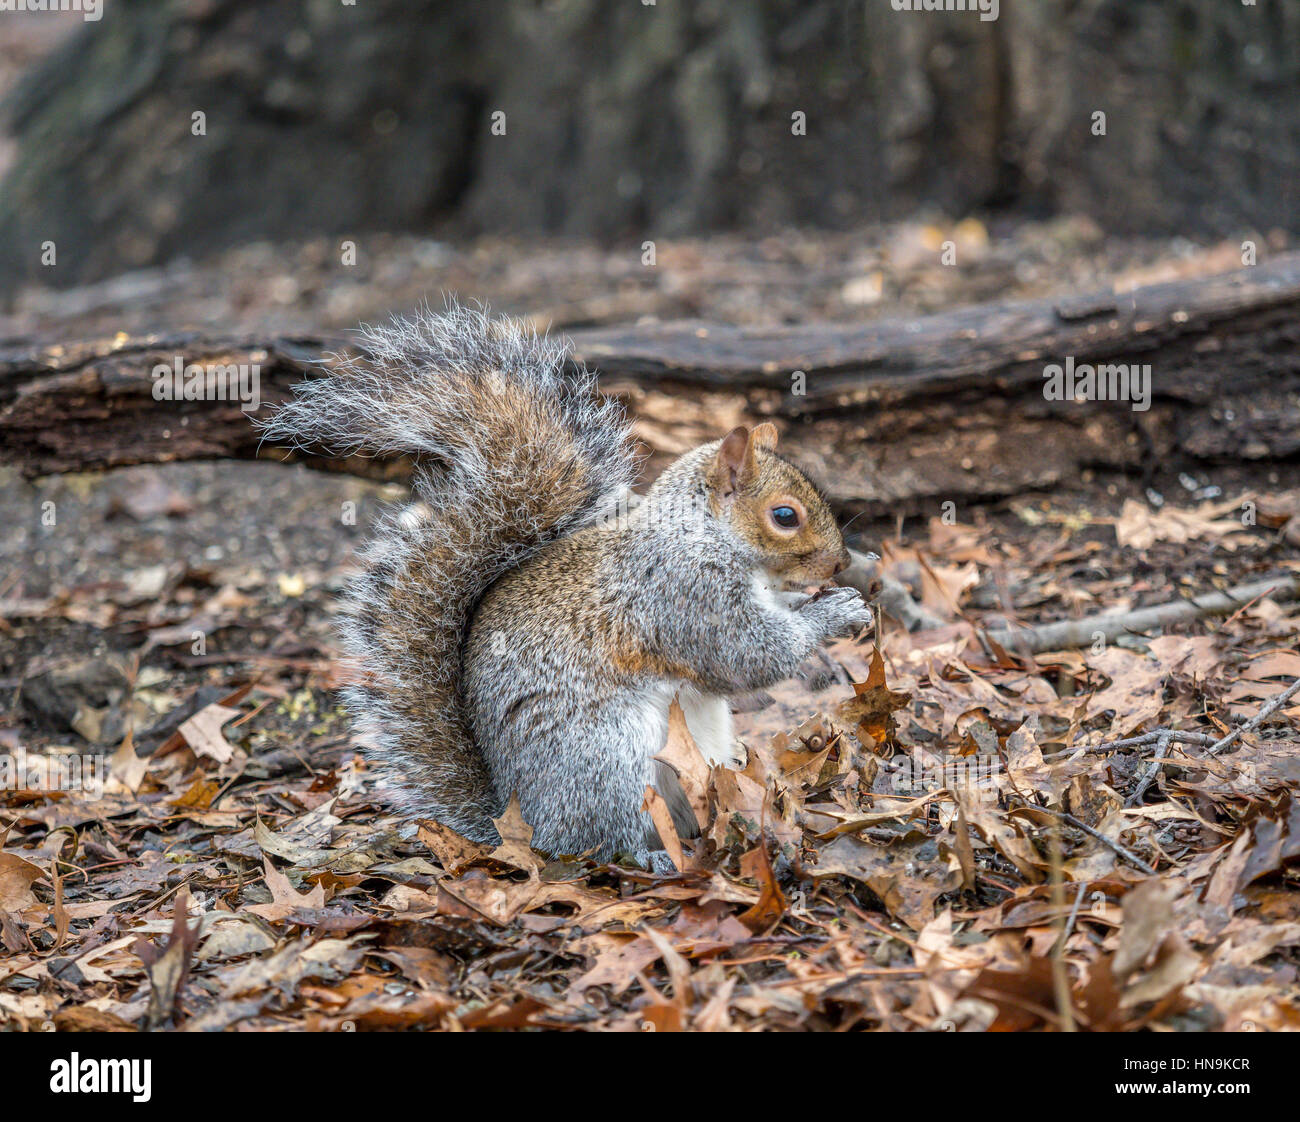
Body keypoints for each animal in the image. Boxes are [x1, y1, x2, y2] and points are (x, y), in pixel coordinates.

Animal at [260, 304, 871, 871]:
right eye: (785, 516)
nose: (841, 564)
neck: (704, 537)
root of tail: (517, 818)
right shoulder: (684, 596)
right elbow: (747, 655)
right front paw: (833, 616)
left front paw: (837, 607)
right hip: (607, 759)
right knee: (597, 840)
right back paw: (649, 856)